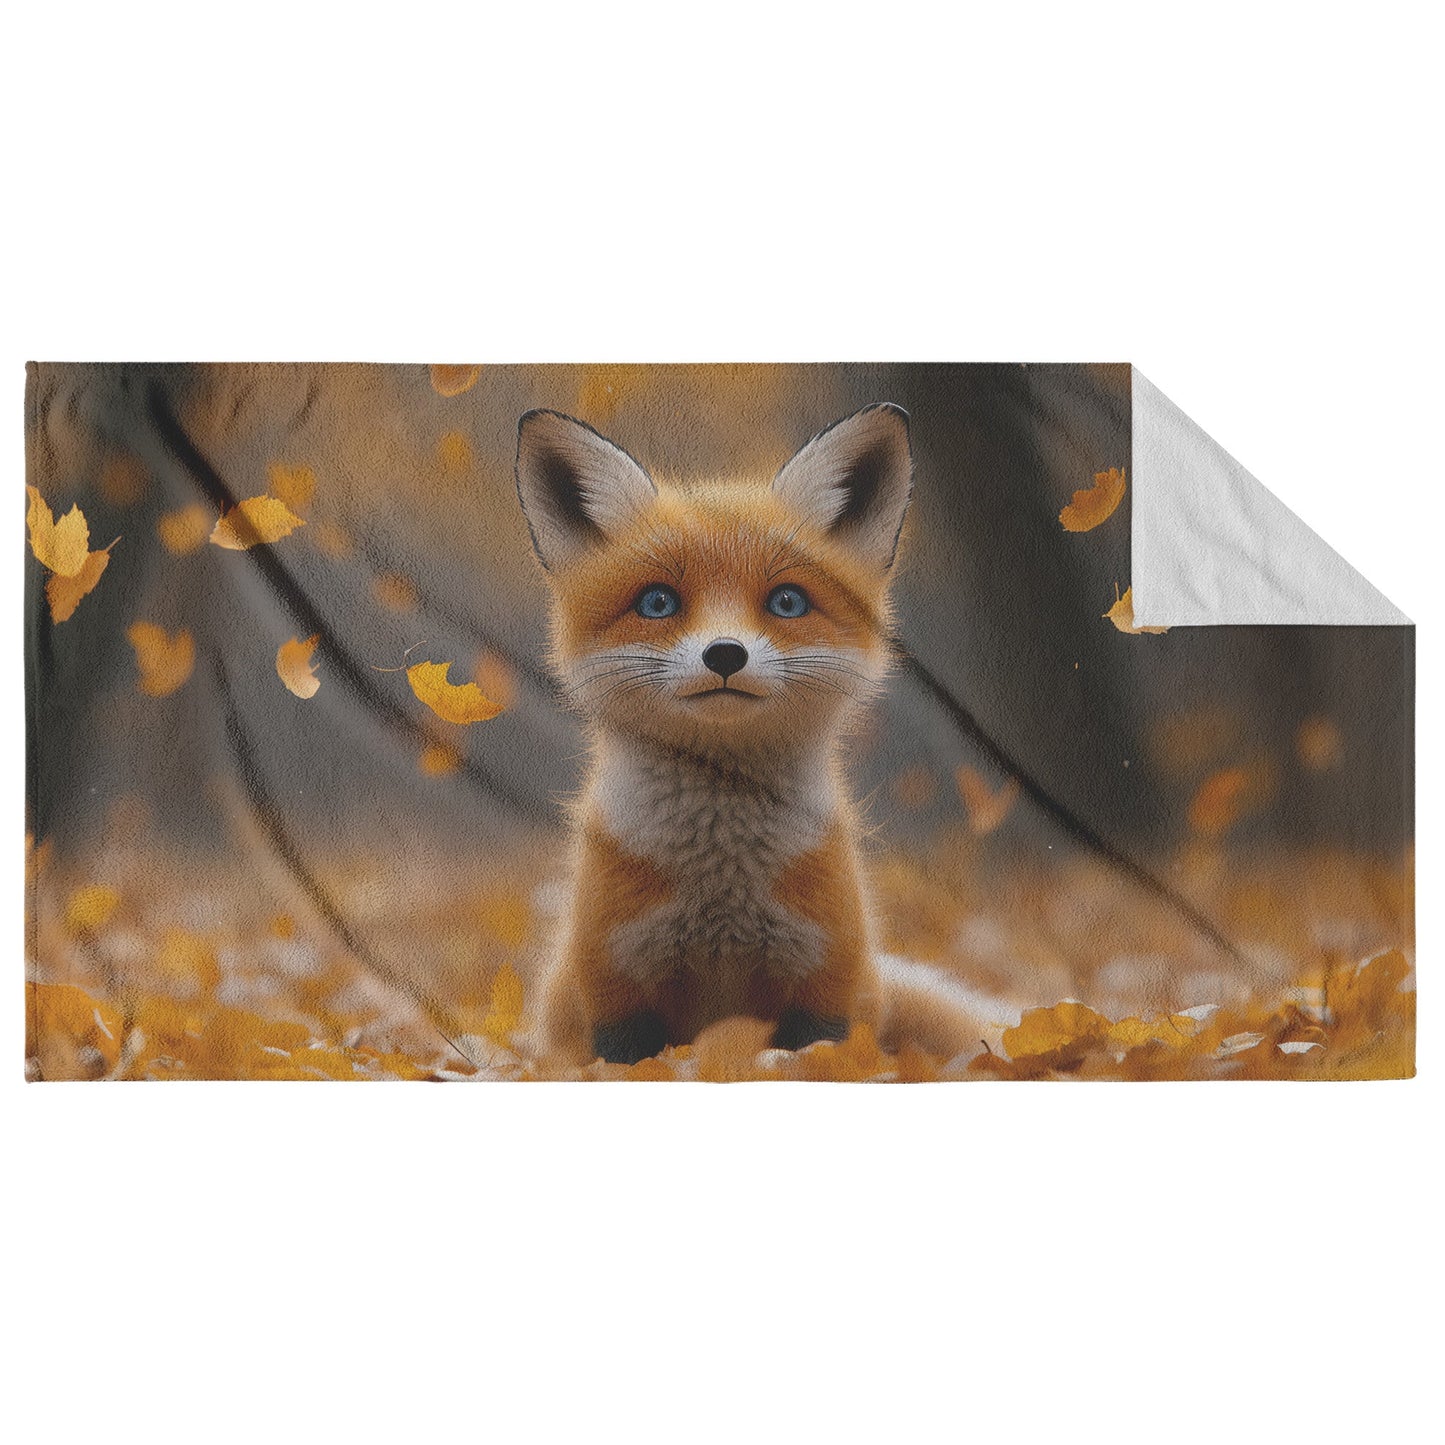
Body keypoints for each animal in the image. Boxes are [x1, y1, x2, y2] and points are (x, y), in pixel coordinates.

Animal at [514, 402, 979, 1067]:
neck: (722, 885)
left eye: (786, 601)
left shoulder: (826, 986)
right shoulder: (615, 990)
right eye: (657, 602)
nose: (725, 654)